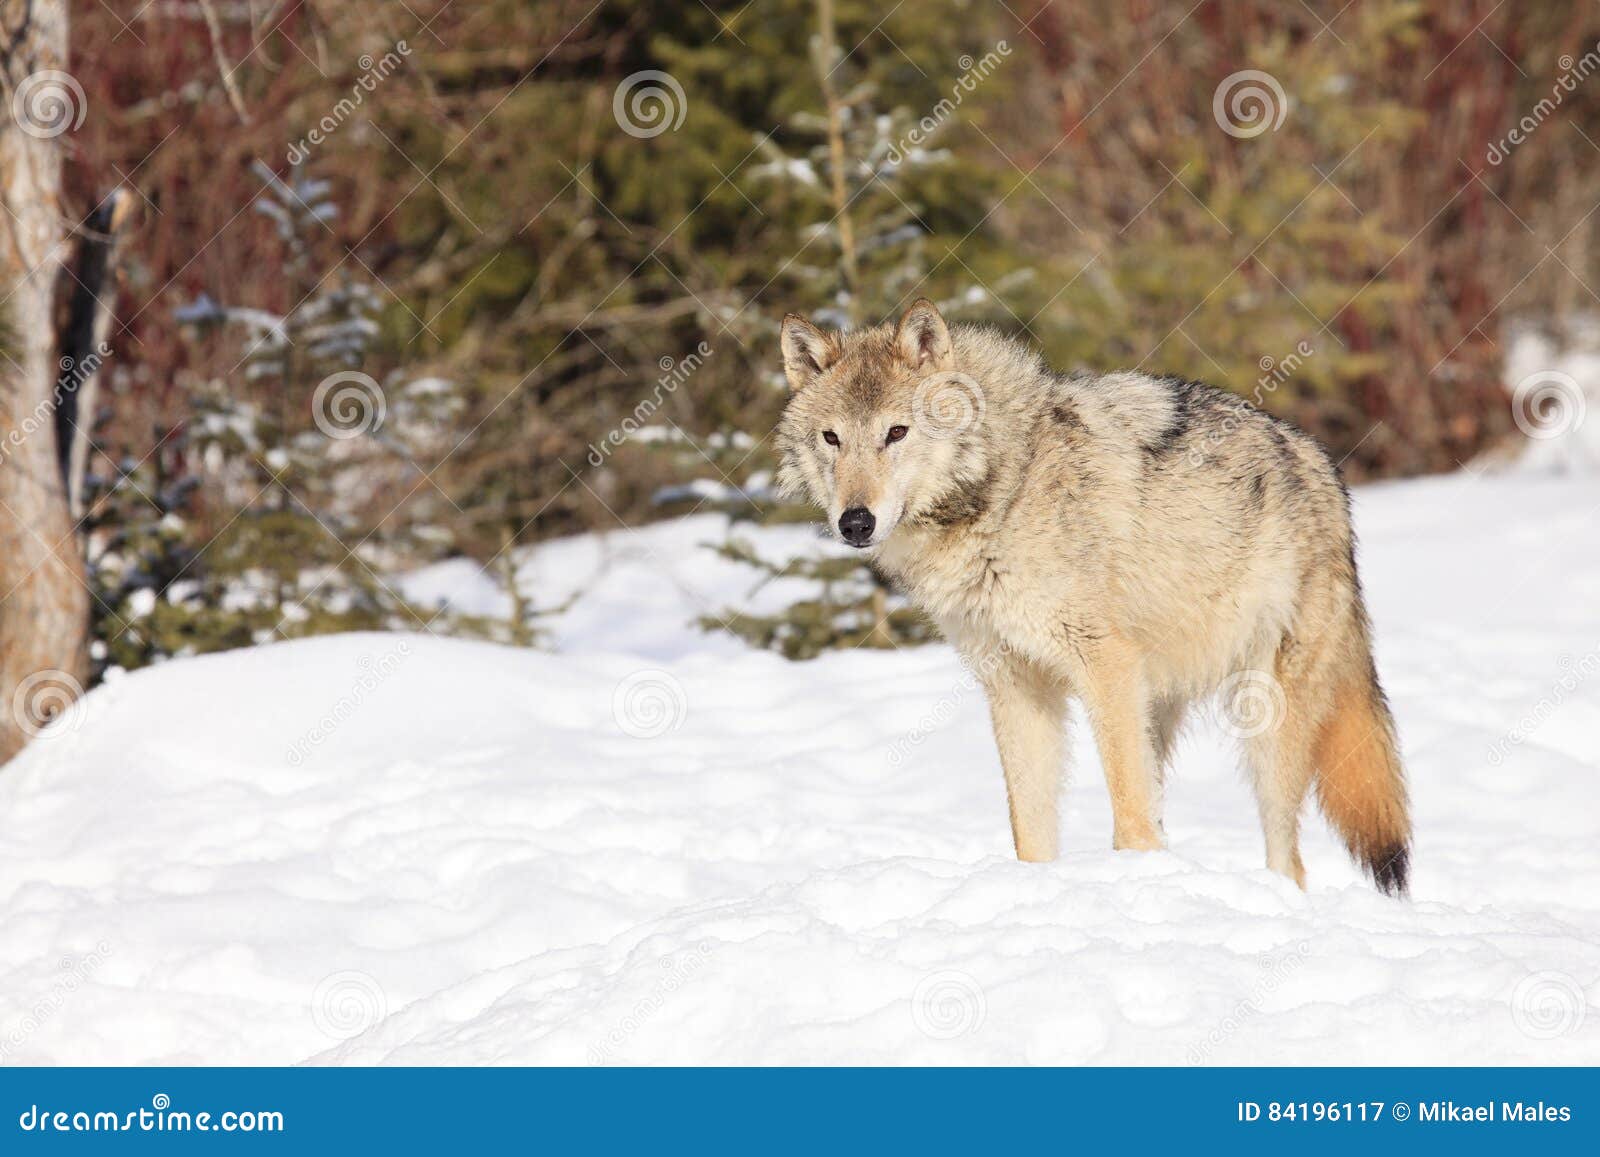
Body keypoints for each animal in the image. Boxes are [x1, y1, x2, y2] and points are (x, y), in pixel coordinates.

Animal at [775, 300, 1411, 895]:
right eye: (832, 438)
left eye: (896, 433)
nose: (855, 522)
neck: (1004, 490)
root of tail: (1321, 464)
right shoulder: (1014, 684)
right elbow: (1030, 830)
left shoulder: (1104, 665)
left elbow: (1128, 816)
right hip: (1159, 706)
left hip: (1263, 715)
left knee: (1287, 857)